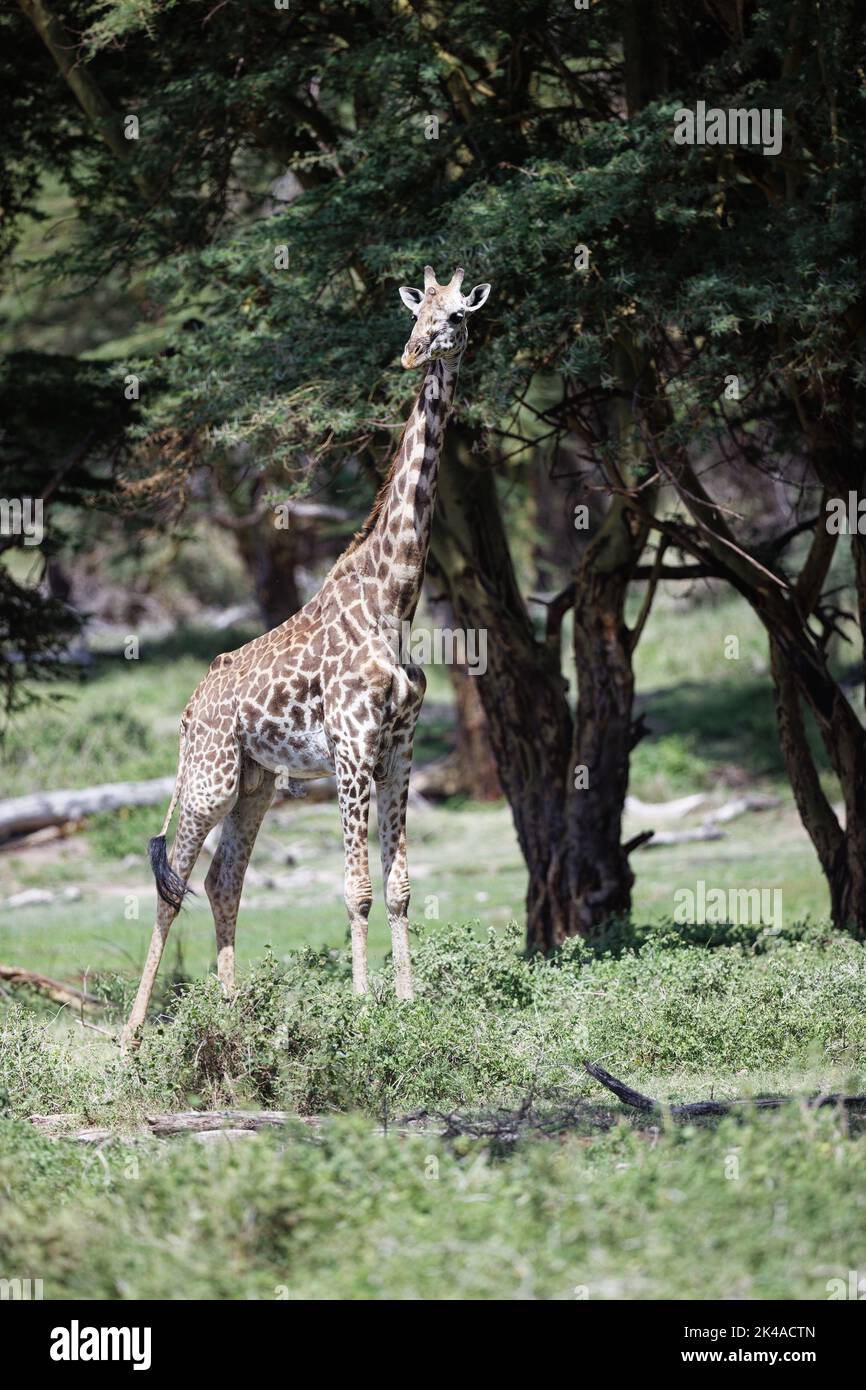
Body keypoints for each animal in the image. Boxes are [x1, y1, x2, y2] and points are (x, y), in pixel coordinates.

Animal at [121, 265, 491, 1051]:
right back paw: (133, 1037)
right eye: (419, 315)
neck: (396, 599)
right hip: (209, 779)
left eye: (455, 317)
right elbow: (355, 889)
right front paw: (362, 1011)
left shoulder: (399, 746)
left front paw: (408, 1008)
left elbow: (399, 887)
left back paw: (230, 1018)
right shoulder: (351, 745)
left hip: (255, 783)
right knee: (172, 875)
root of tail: (189, 709)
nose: (413, 353)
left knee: (221, 880)